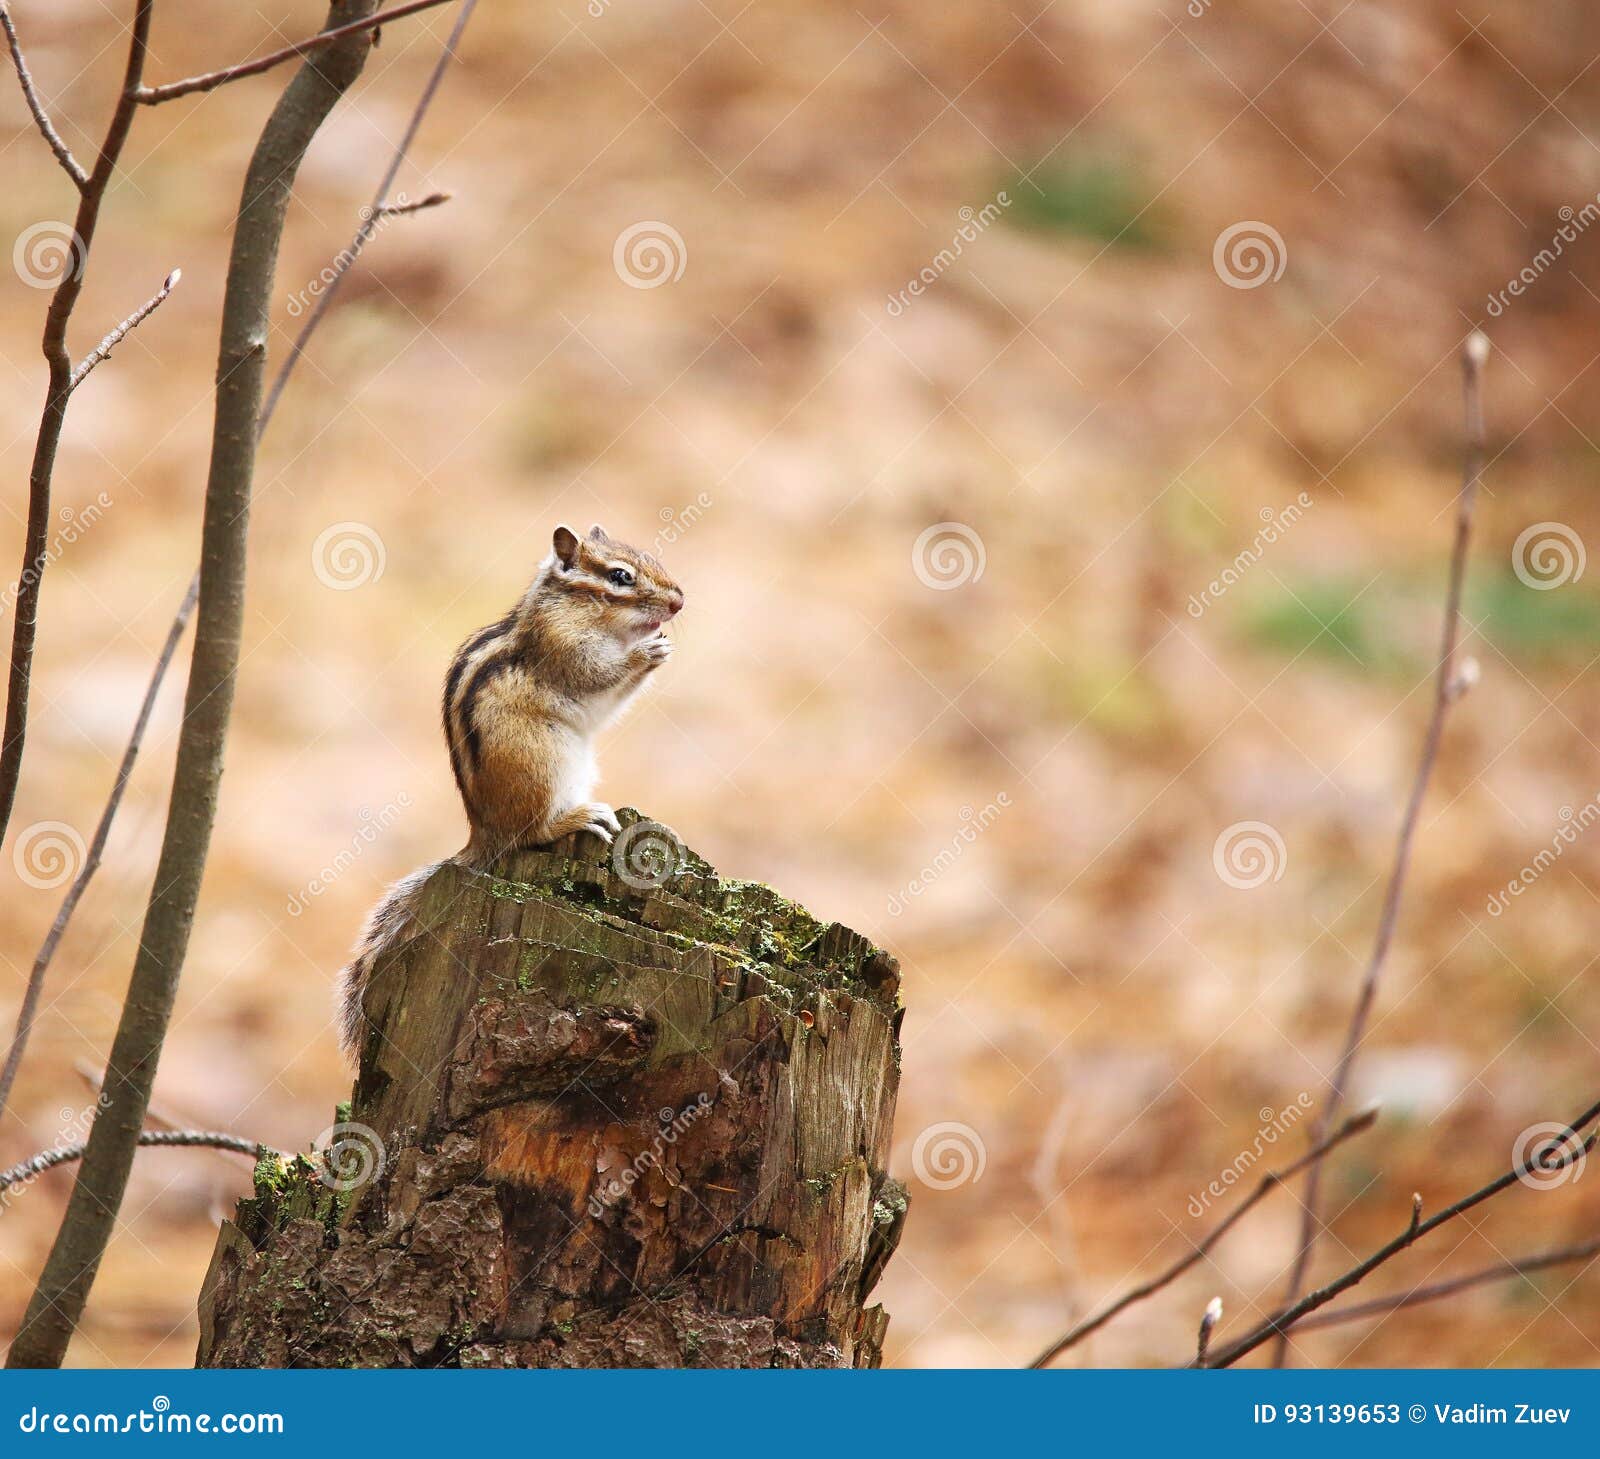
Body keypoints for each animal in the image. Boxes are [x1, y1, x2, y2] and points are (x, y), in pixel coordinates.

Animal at [336, 523, 684, 1058]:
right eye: (620, 576)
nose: (679, 603)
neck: (578, 611)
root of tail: (485, 834)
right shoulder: (564, 649)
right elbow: (598, 676)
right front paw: (648, 653)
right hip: (545, 761)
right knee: (532, 832)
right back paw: (579, 817)